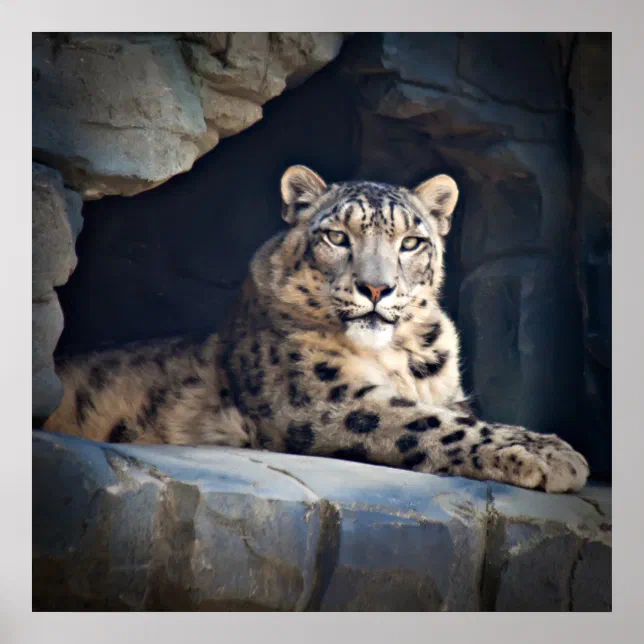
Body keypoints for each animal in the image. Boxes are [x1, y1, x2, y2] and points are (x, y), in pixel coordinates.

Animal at [43, 165, 590, 493]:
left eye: (411, 242)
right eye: (336, 236)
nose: (376, 288)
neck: (399, 357)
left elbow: (460, 416)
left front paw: (548, 447)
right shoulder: (322, 399)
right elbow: (432, 423)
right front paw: (556, 455)